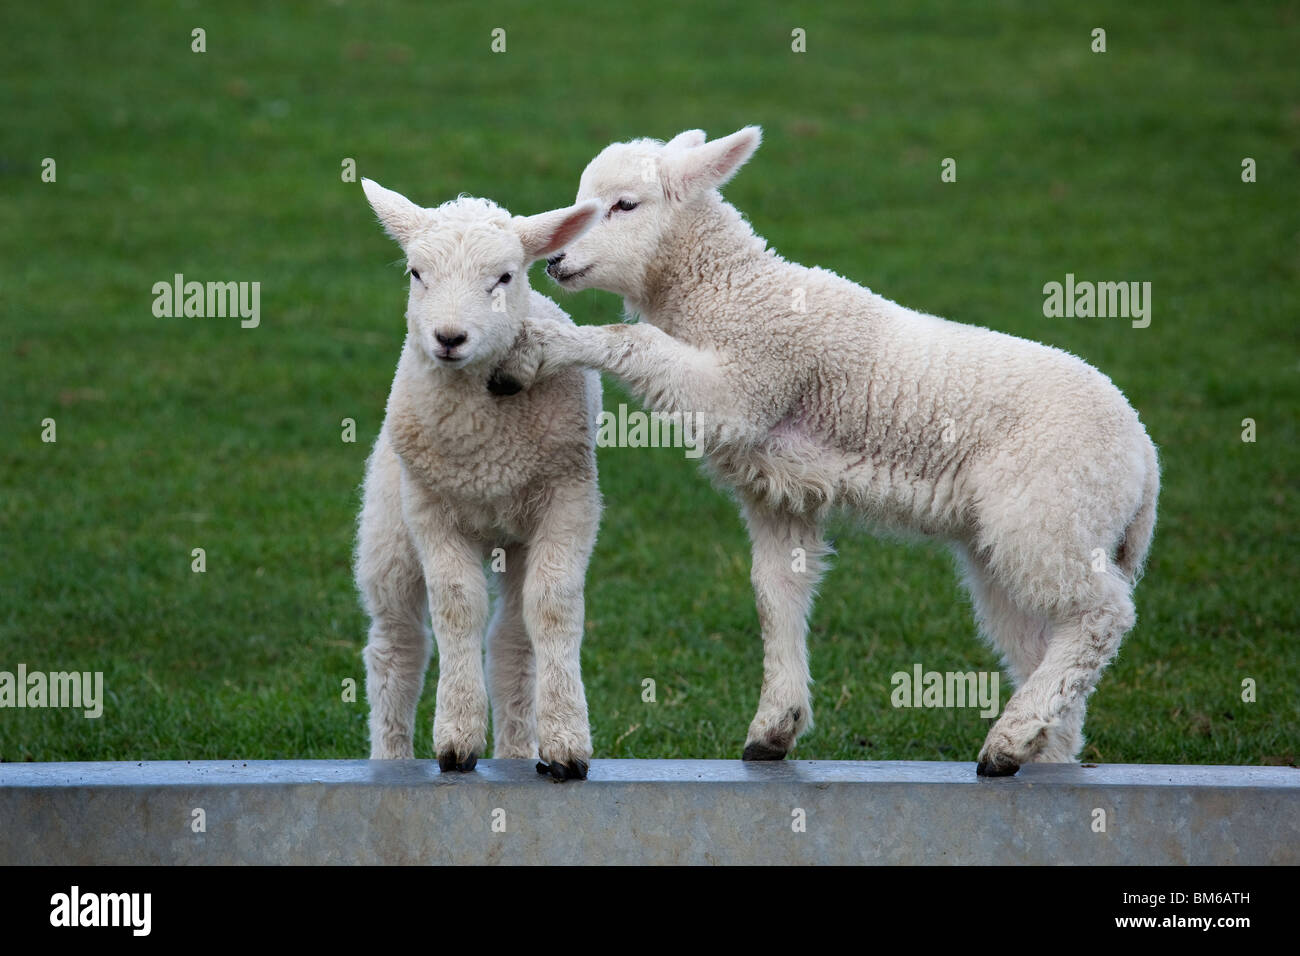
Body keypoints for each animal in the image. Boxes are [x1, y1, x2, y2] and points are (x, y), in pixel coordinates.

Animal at [355, 178, 604, 780]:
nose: (449, 337)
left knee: (513, 641)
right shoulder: (431, 509)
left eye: (505, 277)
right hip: (388, 527)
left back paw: (517, 752)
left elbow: (552, 607)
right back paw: (390, 758)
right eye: (416, 273)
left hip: (516, 537)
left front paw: (566, 744)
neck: (485, 452)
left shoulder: (569, 500)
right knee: (396, 645)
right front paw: (456, 738)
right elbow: (457, 606)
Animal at [516, 127, 1160, 775]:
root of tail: (1145, 456)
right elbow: (775, 597)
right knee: (1043, 644)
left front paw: (548, 343)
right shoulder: (778, 488)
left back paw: (1009, 737)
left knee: (1103, 615)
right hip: (1018, 538)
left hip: (1048, 511)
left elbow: (635, 340)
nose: (555, 263)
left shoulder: (750, 385)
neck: (727, 296)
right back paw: (1032, 749)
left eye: (625, 205)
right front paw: (774, 729)